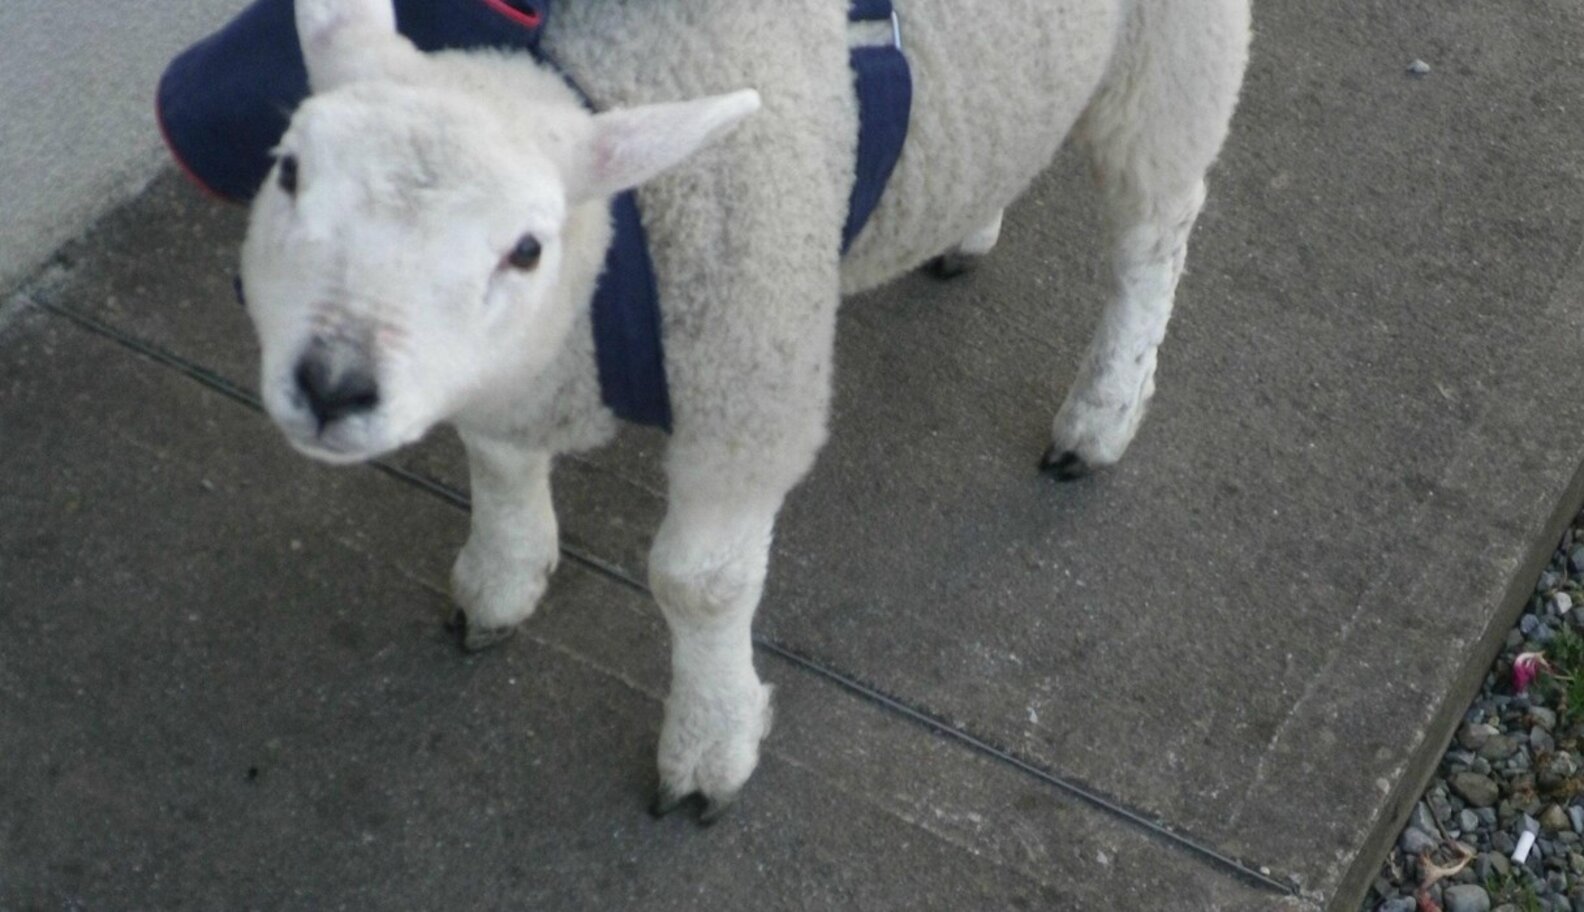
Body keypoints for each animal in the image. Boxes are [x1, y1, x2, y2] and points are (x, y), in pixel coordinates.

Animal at [239, 0, 1250, 820]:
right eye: (286, 172)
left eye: (525, 248)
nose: (331, 385)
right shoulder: (513, 369)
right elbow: (495, 460)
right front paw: (504, 574)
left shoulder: (750, 386)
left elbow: (701, 582)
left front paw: (708, 742)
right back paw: (969, 229)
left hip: (1177, 58)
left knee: (1157, 228)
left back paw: (1104, 407)